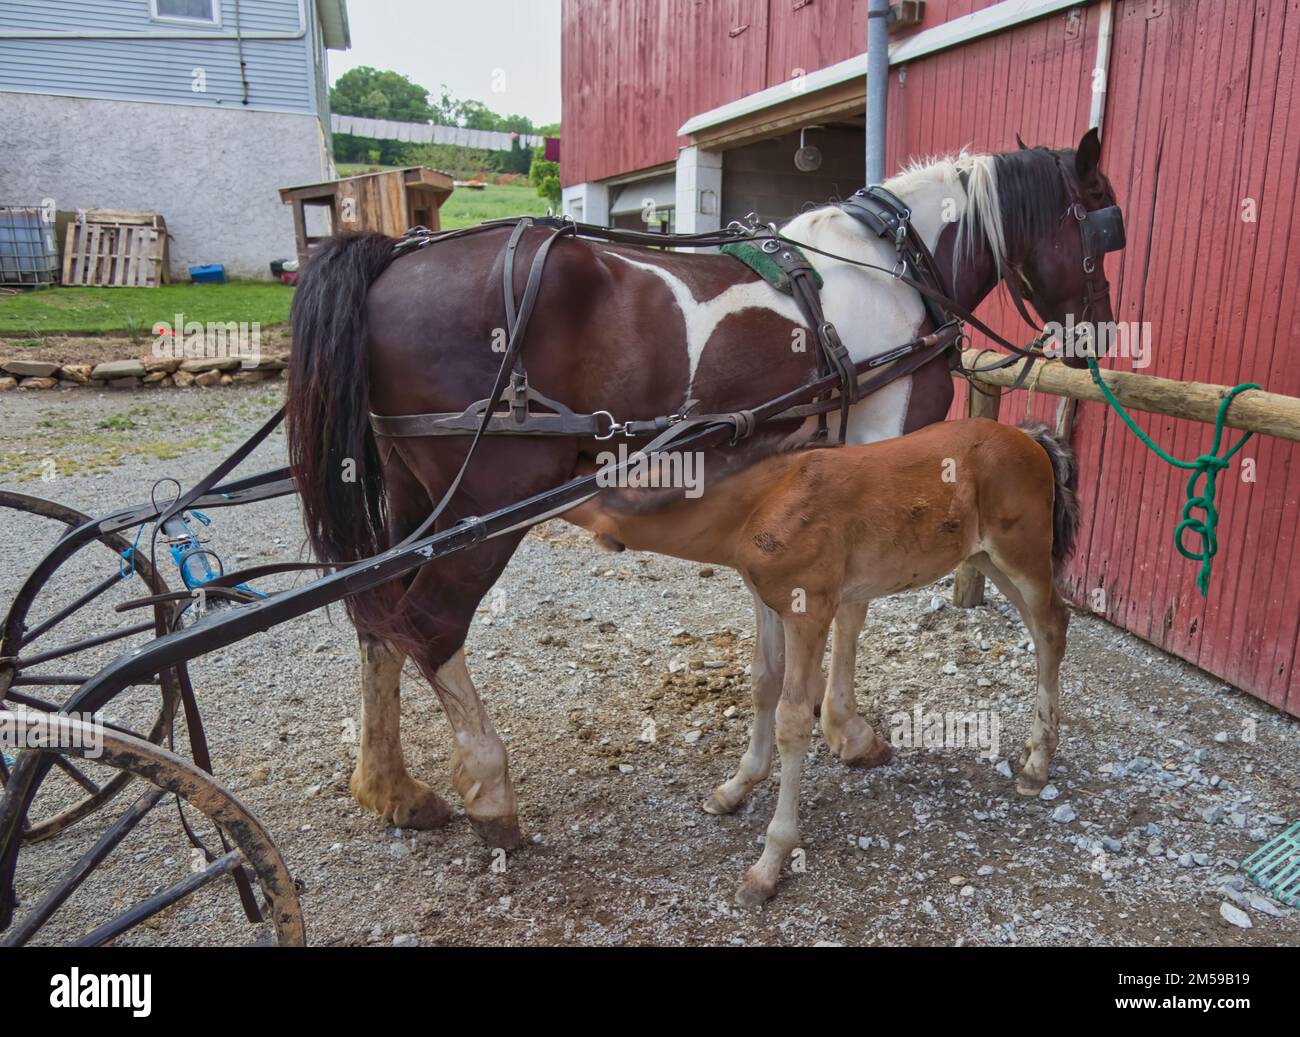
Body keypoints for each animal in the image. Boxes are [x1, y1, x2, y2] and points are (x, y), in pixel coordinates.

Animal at [286, 130, 1121, 850]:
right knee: (429, 625)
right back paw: (489, 788)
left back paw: (391, 786)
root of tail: (393, 260)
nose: (1105, 333)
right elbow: (853, 609)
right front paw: (848, 731)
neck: (896, 265)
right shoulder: (876, 445)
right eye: (1104, 224)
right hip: (485, 503)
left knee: (377, 619)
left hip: (412, 497)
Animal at [565, 417, 1079, 903]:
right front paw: (734, 789)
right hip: (988, 558)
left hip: (1022, 554)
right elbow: (763, 684)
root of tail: (1029, 438)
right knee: (1039, 629)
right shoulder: (767, 603)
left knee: (1052, 626)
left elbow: (792, 720)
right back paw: (1032, 748)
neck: (763, 501)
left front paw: (767, 866)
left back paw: (1037, 765)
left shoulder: (808, 608)